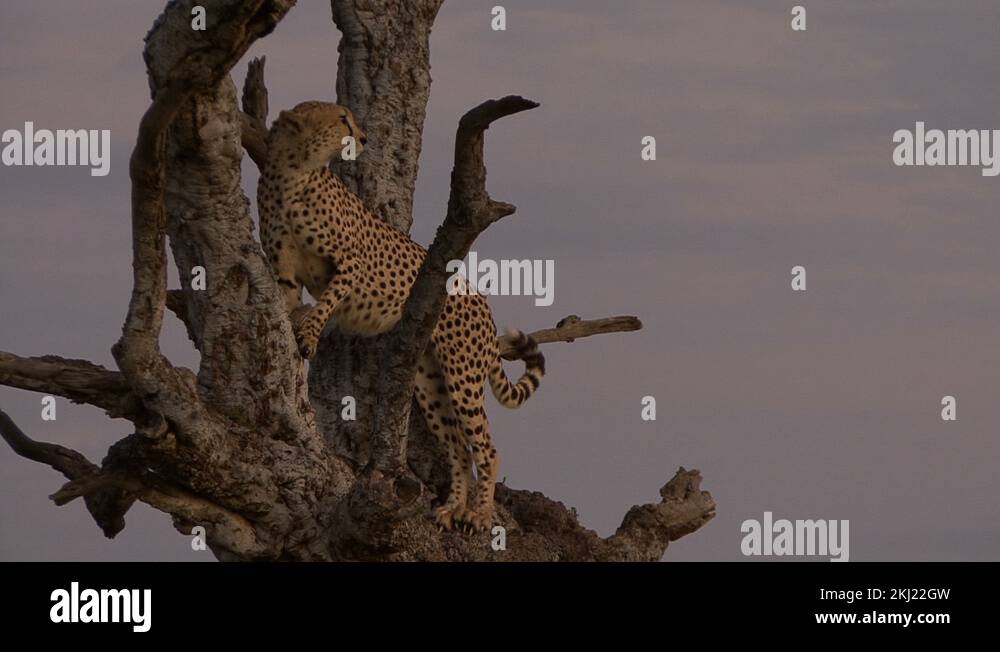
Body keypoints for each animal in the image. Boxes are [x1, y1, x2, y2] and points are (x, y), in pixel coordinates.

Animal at [256, 101, 545, 532]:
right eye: (341, 120)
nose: (363, 138)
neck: (294, 172)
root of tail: (481, 299)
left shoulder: (352, 264)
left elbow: (327, 302)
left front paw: (309, 334)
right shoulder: (286, 273)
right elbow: (292, 305)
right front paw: (295, 337)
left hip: (462, 374)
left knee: (486, 447)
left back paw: (478, 513)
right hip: (429, 378)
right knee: (458, 449)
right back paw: (451, 508)